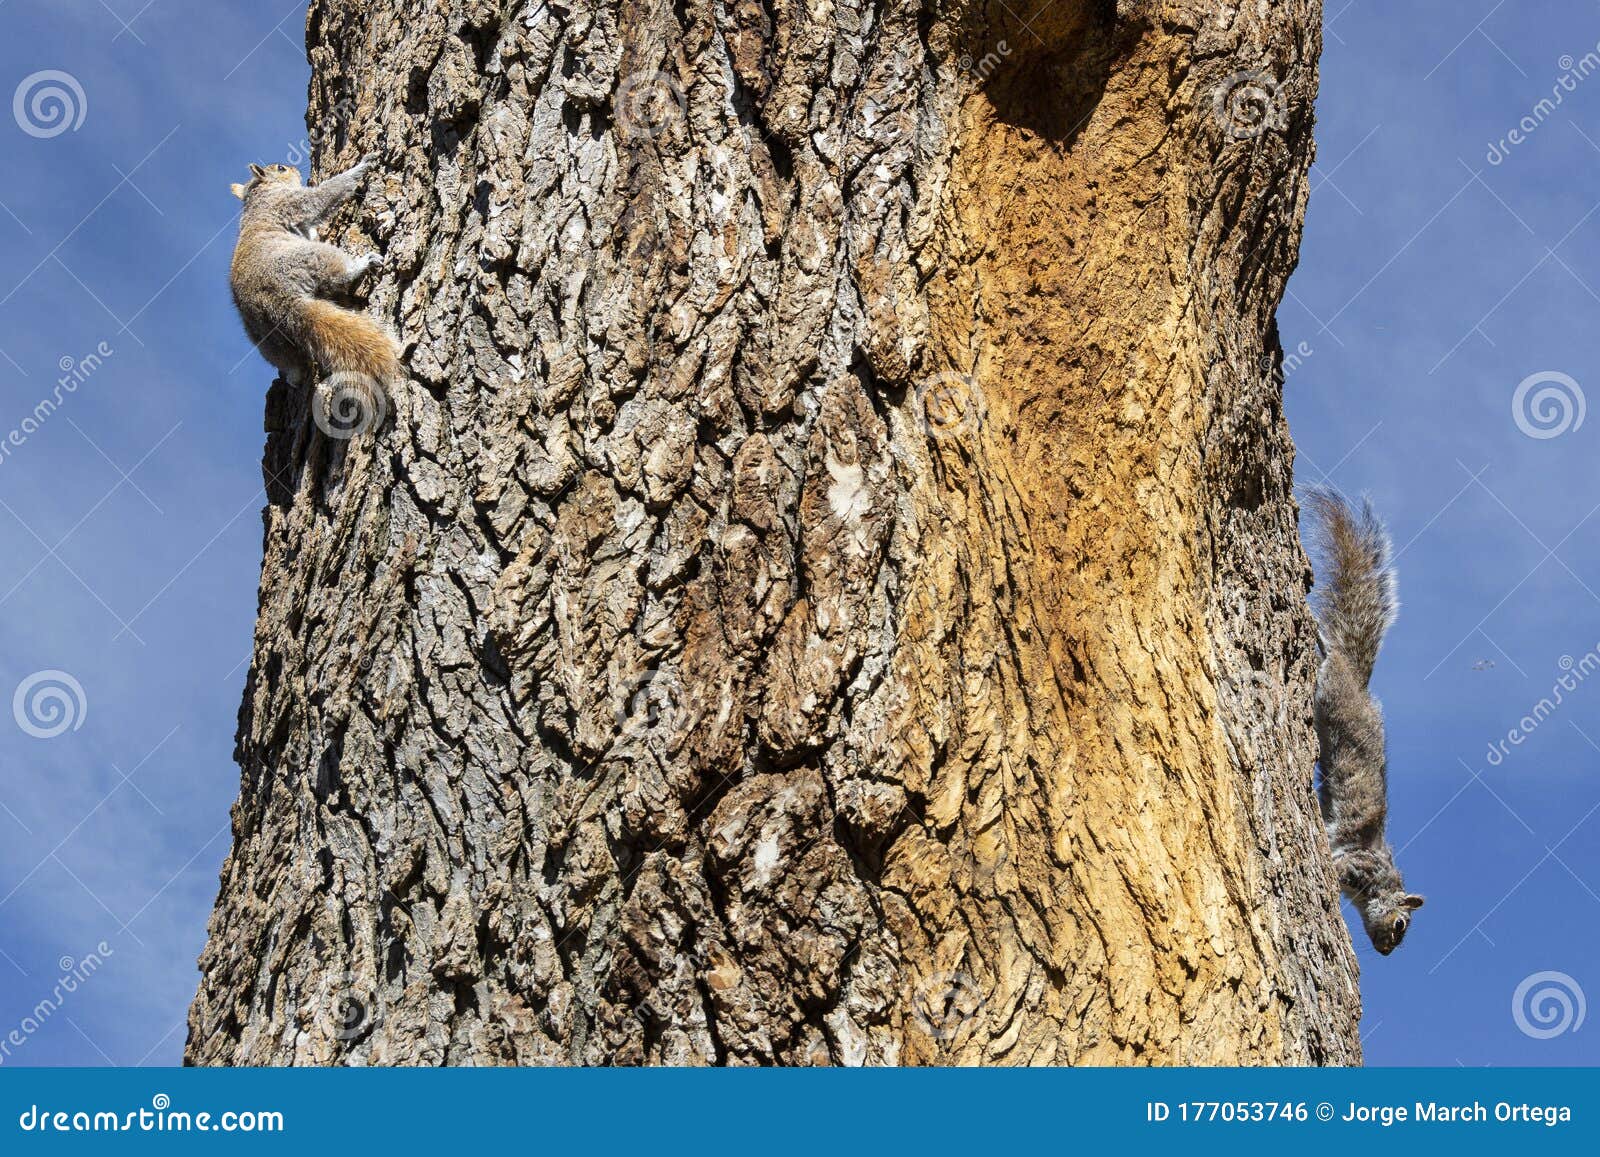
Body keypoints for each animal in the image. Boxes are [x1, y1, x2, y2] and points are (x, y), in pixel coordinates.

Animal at [229, 156, 398, 390]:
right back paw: (360, 265)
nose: (295, 169)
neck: (260, 194)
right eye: (281, 169)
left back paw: (293, 376)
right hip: (309, 258)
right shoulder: (289, 203)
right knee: (338, 274)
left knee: (287, 361)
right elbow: (321, 197)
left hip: (266, 340)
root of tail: (279, 301)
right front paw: (361, 167)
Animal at [1304, 487, 1425, 955]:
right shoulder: (1358, 866)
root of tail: (1357, 677)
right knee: (1330, 657)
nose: (1387, 951)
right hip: (1332, 691)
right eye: (1401, 925)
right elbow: (1338, 869)